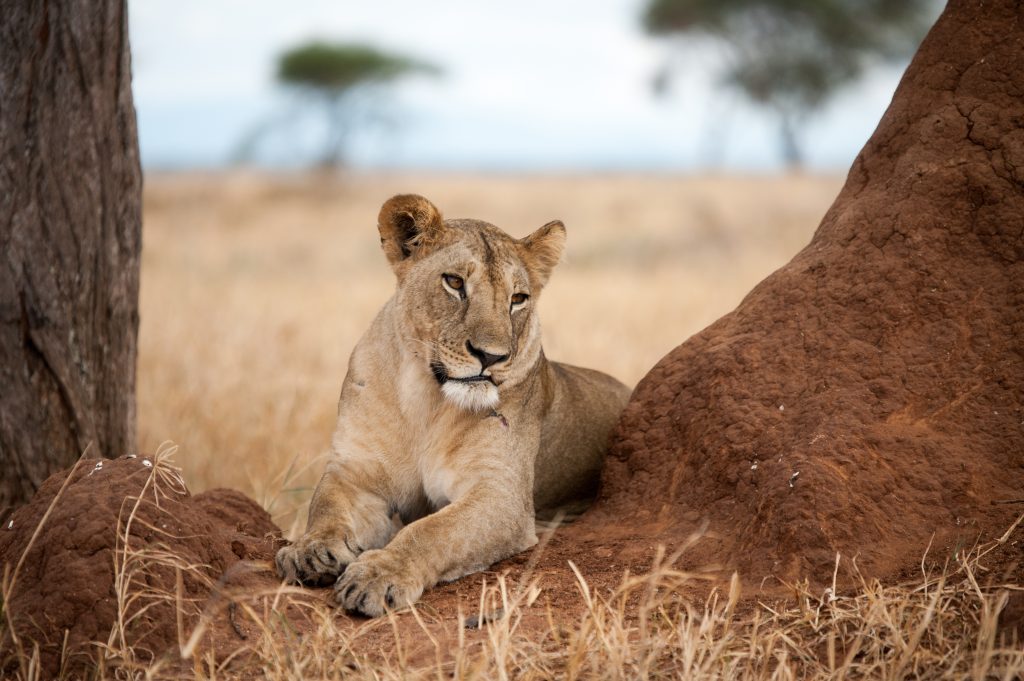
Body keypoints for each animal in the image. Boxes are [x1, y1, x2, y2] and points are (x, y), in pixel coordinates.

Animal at [275, 194, 631, 616]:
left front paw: (378, 575)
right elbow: (326, 506)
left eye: (518, 299)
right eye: (455, 282)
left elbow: (431, 531)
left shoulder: (501, 496)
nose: (491, 357)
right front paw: (309, 550)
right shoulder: (356, 471)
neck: (425, 399)